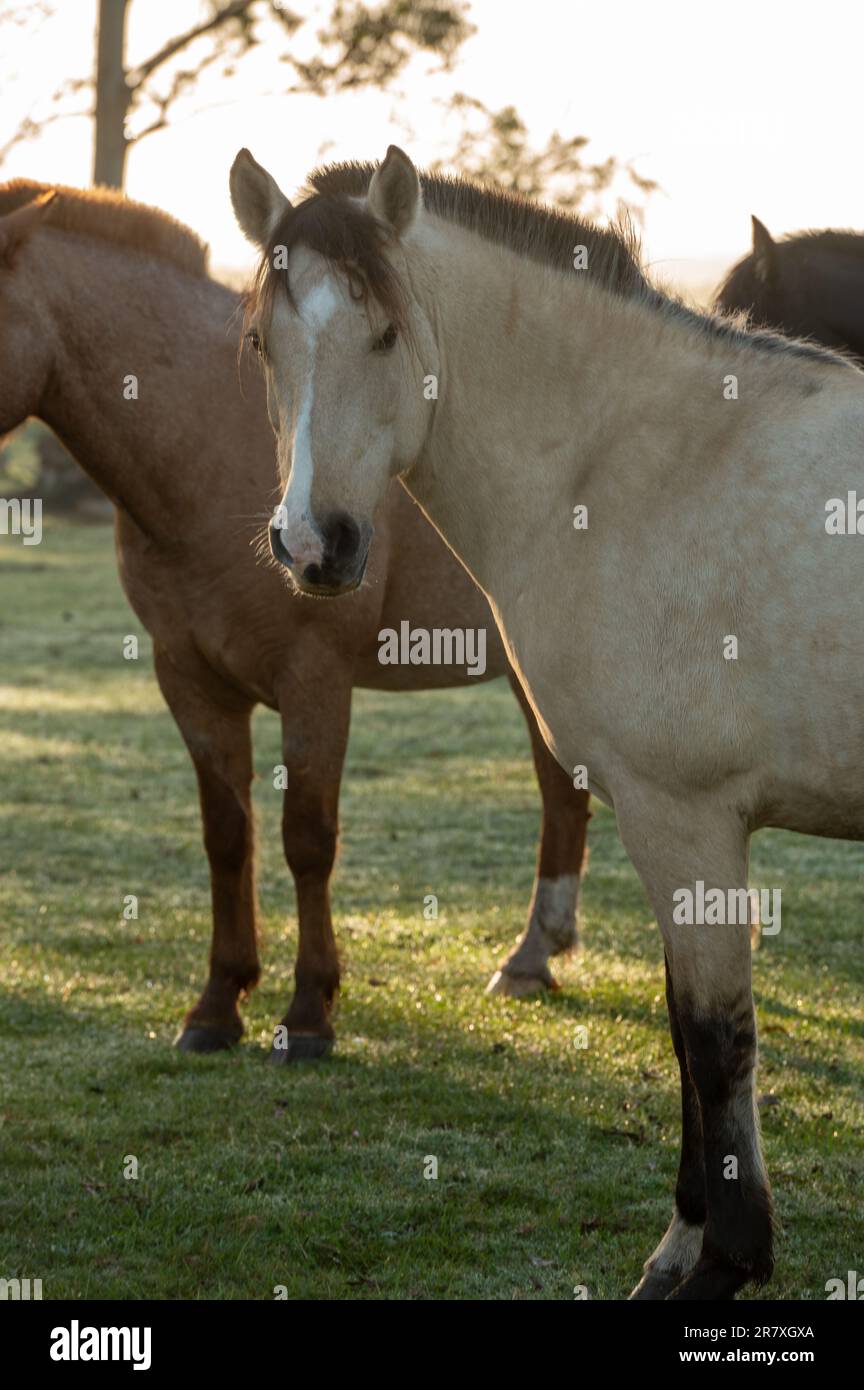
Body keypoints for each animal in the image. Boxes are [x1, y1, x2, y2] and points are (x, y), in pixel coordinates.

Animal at [0, 179, 592, 1060]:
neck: (212, 444)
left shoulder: (315, 679)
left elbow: (307, 838)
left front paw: (309, 1011)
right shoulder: (189, 678)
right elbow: (227, 836)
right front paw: (217, 1003)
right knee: (563, 790)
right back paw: (530, 959)